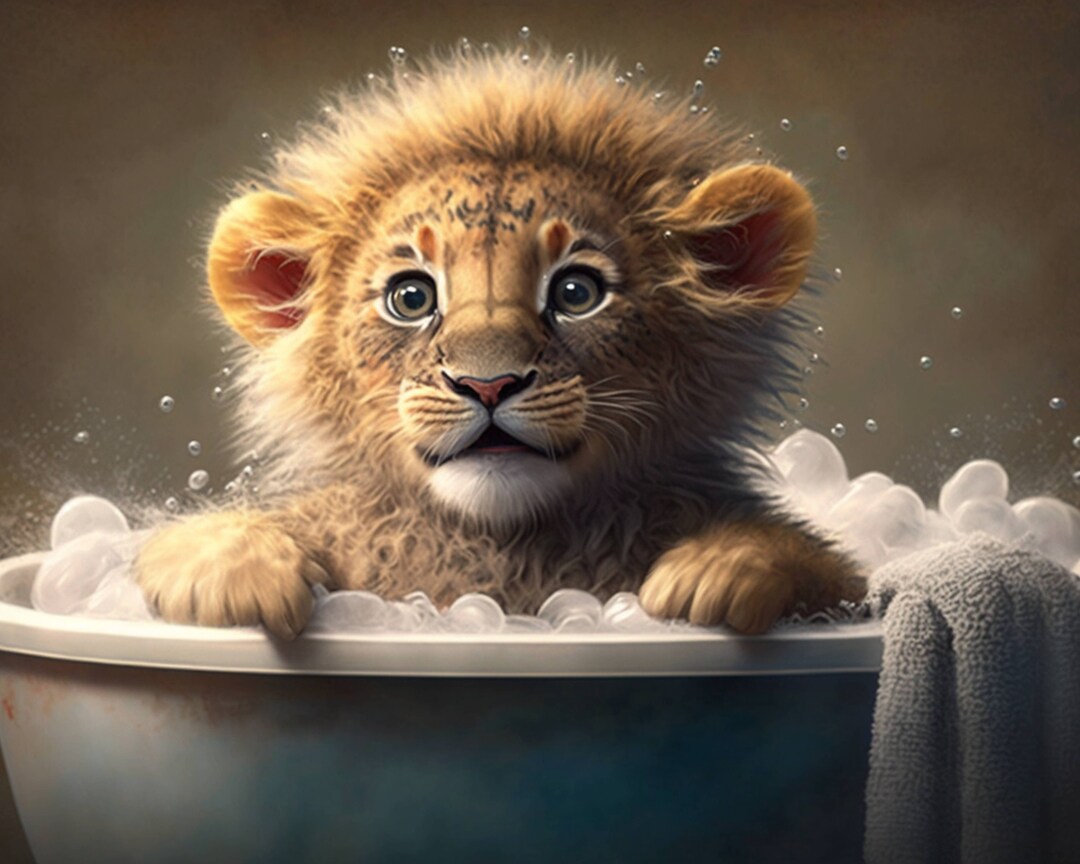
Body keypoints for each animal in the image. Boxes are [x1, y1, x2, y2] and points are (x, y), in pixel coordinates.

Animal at [134, 46, 865, 639]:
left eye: (576, 292)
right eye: (411, 297)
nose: (488, 385)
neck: (502, 554)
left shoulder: (847, 590)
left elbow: (835, 572)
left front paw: (717, 572)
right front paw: (234, 580)